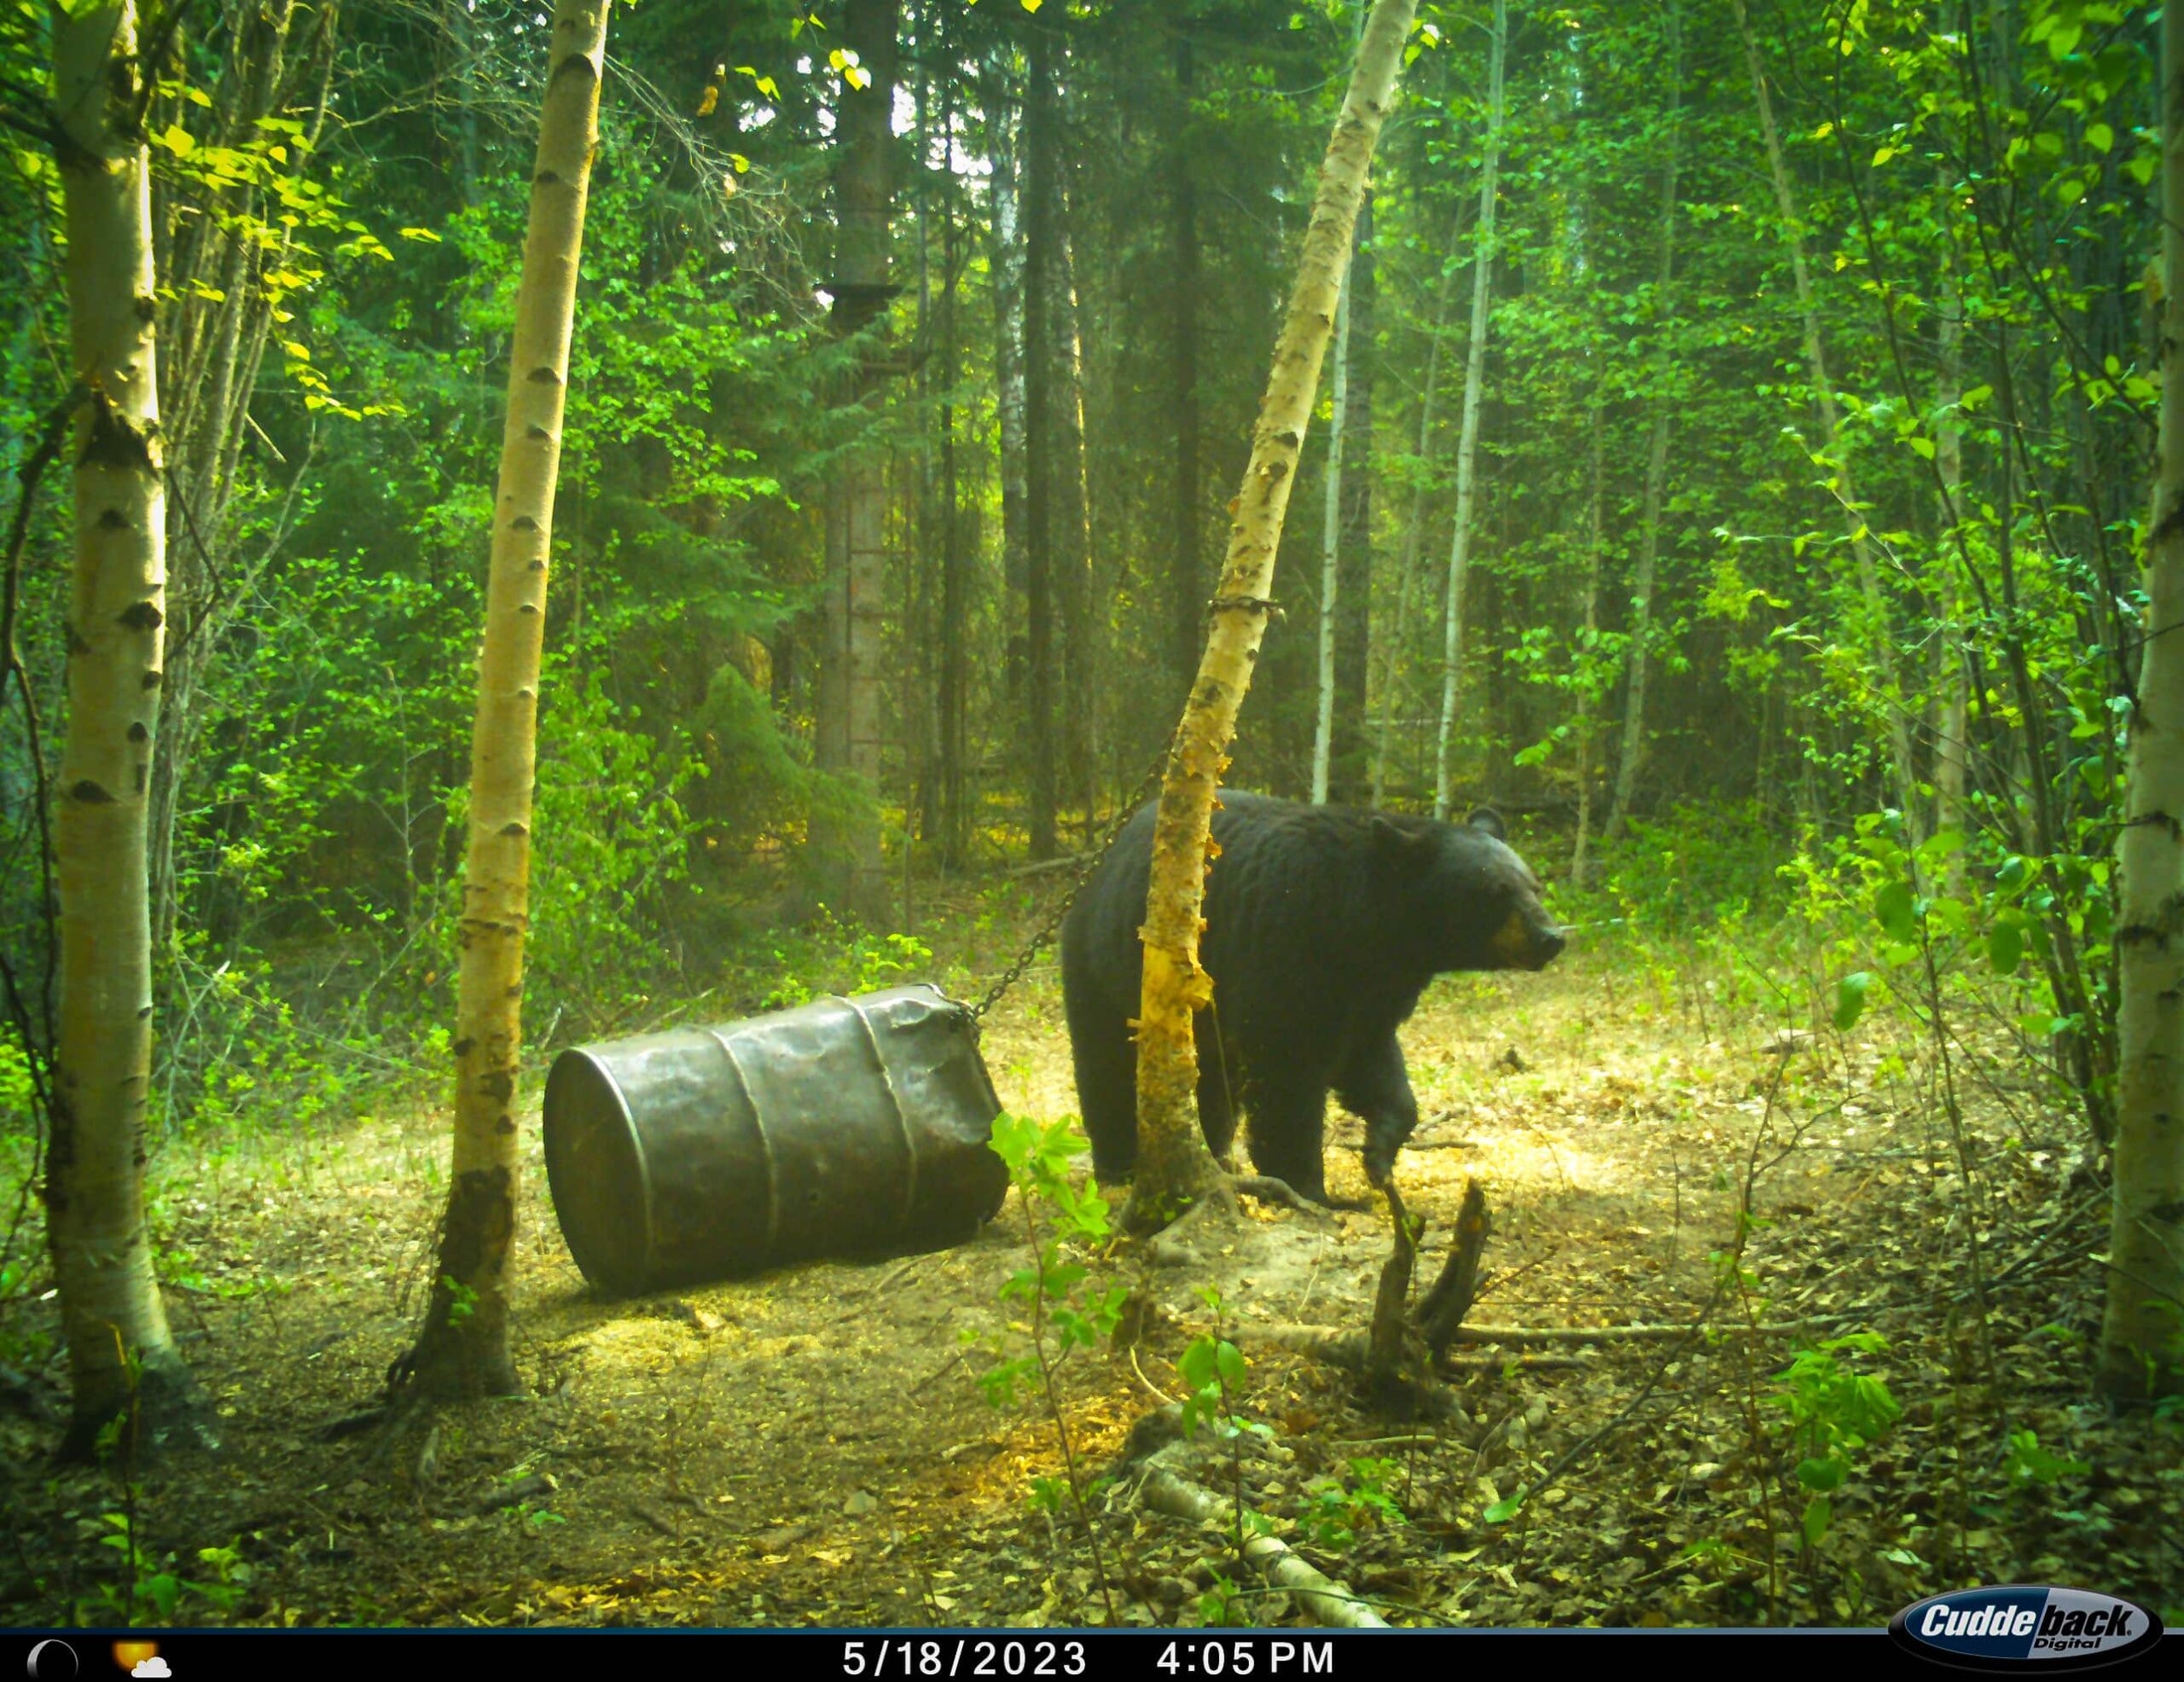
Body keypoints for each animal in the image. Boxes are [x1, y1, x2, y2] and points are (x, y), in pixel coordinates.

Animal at [1060, 792, 1565, 1205]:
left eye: (1534, 885)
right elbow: (1289, 1072)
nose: (1551, 937)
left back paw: (1216, 1155)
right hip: (1109, 967)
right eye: (1495, 893)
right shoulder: (1289, 944)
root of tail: (1099, 864)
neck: (1369, 924)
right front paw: (1308, 1185)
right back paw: (1121, 1164)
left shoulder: (1370, 991)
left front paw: (1378, 1153)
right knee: (1107, 1066)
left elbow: (1374, 1067)